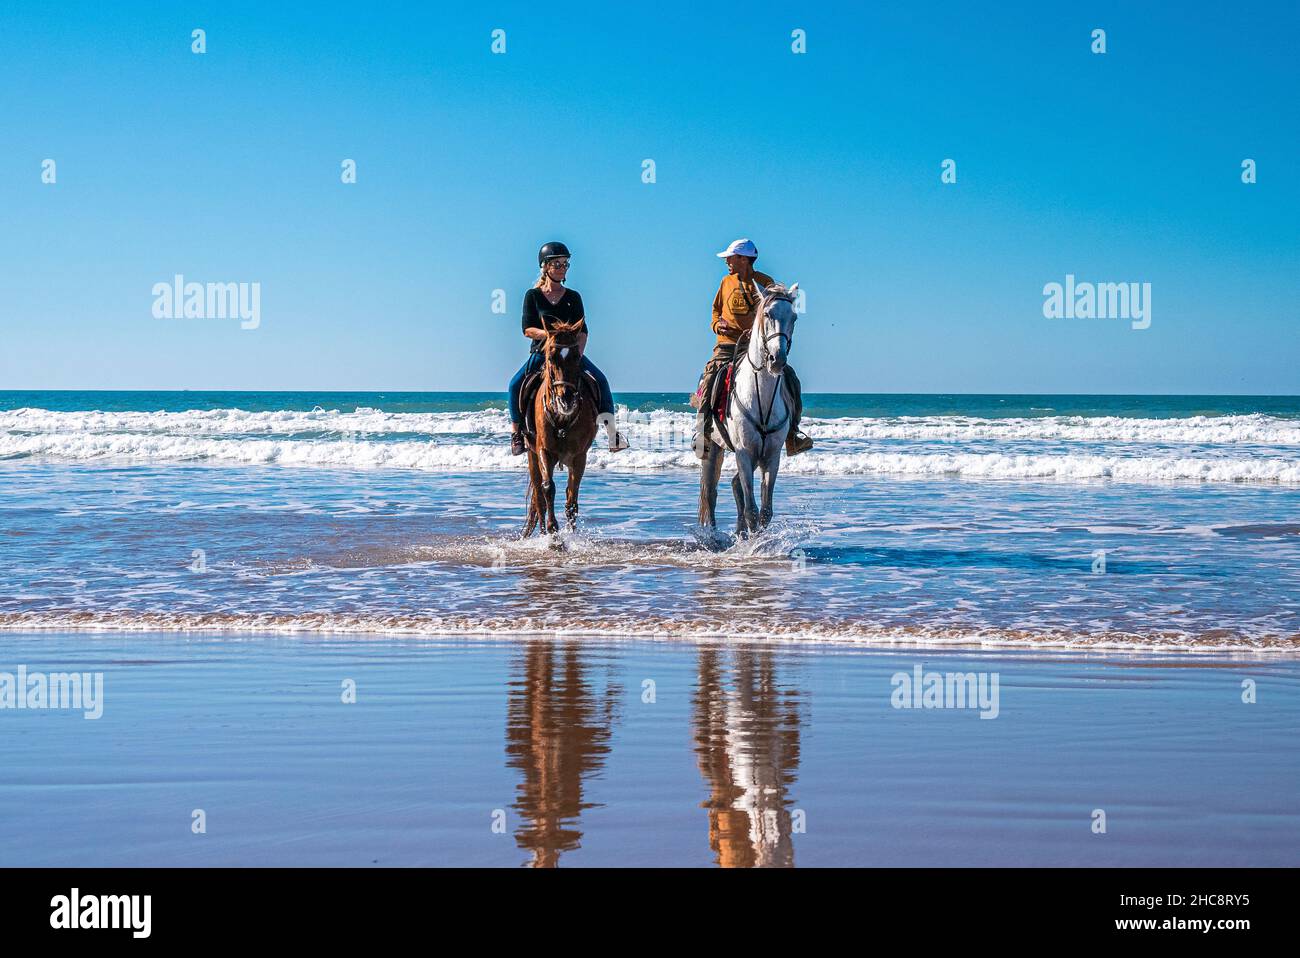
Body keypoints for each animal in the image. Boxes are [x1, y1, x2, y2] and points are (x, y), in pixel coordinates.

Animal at [523, 317, 600, 537]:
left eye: (577, 357)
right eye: (550, 357)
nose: (567, 400)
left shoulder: (579, 457)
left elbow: (572, 501)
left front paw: (571, 537)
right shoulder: (543, 451)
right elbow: (548, 488)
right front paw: (553, 533)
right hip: (531, 454)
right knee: (538, 498)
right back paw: (542, 533)